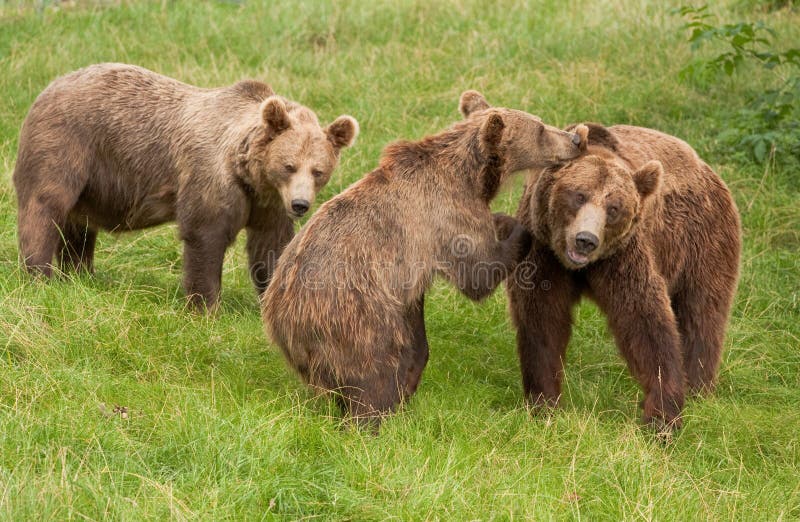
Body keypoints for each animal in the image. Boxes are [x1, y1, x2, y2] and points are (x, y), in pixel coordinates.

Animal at [13, 63, 358, 309]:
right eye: (289, 166)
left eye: (318, 171)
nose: (300, 205)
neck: (248, 173)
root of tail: (50, 86)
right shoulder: (212, 177)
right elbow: (205, 234)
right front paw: (205, 305)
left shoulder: (267, 203)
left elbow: (270, 245)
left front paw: (271, 295)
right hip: (68, 143)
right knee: (46, 205)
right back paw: (40, 274)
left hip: (93, 183)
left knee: (79, 226)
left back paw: (81, 274)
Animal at [262, 90, 588, 427]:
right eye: (540, 128)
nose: (576, 139)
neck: (473, 176)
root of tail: (279, 312)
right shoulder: (448, 218)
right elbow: (479, 273)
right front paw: (520, 228)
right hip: (354, 314)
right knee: (373, 369)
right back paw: (375, 416)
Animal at [506, 123, 741, 431]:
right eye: (578, 195)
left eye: (614, 208)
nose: (586, 240)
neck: (579, 267)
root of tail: (707, 169)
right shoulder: (542, 252)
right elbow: (542, 319)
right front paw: (544, 403)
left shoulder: (623, 257)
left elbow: (644, 322)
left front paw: (662, 416)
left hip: (703, 242)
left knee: (702, 316)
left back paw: (698, 388)